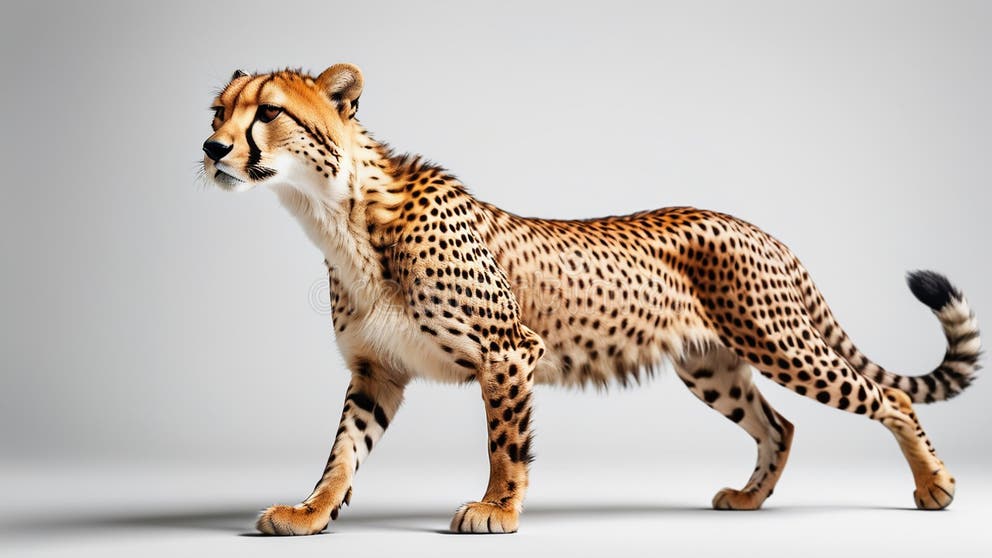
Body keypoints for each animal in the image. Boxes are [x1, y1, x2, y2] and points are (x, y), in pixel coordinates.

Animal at [200, 64, 981, 535]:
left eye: (267, 112)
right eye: (216, 111)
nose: (211, 149)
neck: (338, 213)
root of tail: (758, 227)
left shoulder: (508, 351)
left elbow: (505, 442)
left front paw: (496, 510)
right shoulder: (377, 370)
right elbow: (343, 452)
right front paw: (310, 513)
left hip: (778, 342)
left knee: (890, 397)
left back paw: (935, 486)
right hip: (711, 366)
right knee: (780, 426)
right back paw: (749, 499)